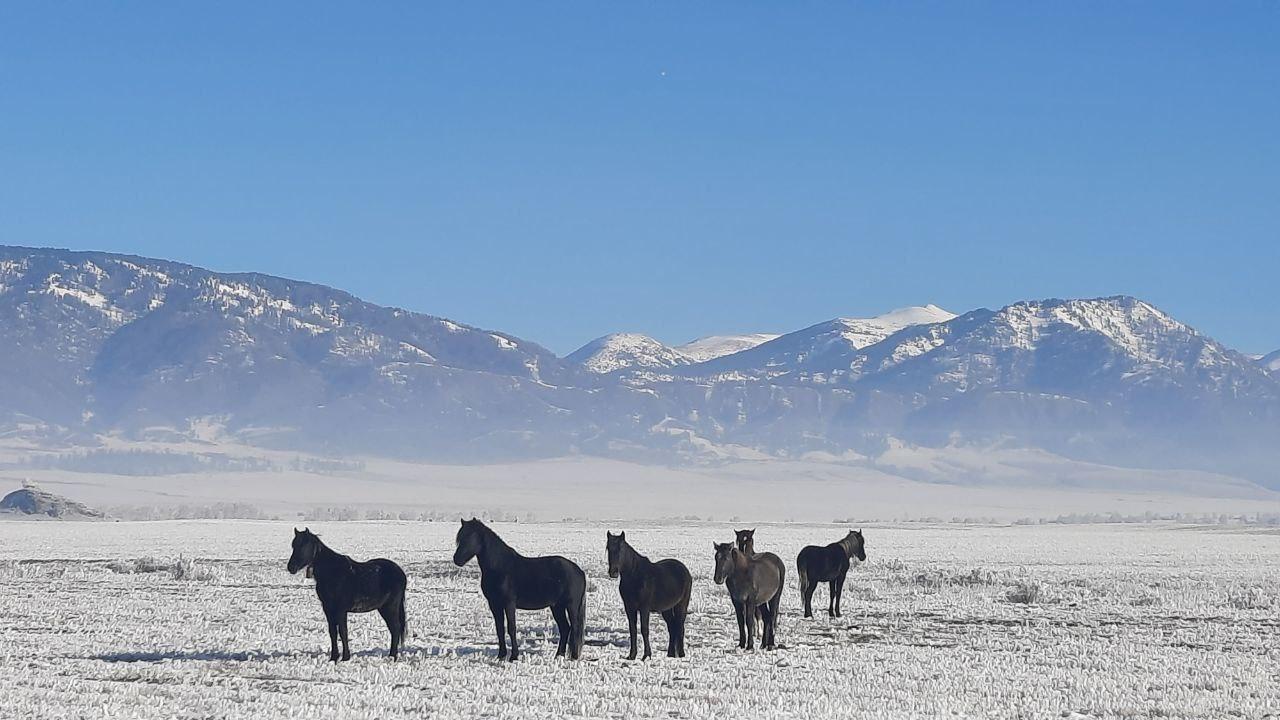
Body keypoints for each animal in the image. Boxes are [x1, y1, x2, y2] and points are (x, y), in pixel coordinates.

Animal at [288, 525, 407, 661]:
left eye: (304, 545)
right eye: (293, 545)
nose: (291, 567)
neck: (332, 572)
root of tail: (400, 572)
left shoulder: (341, 609)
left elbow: (343, 632)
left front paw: (345, 657)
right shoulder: (328, 608)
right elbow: (333, 632)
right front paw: (334, 658)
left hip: (390, 607)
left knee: (395, 628)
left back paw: (392, 656)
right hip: (384, 608)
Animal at [453, 515, 586, 661]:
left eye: (470, 537)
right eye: (460, 537)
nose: (456, 559)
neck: (500, 567)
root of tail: (579, 571)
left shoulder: (509, 603)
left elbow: (511, 628)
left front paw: (514, 656)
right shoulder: (494, 604)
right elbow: (499, 629)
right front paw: (501, 655)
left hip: (571, 605)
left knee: (575, 628)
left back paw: (573, 657)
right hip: (557, 606)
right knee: (565, 628)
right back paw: (558, 655)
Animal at [606, 530, 696, 661]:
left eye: (620, 548)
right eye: (608, 548)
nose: (613, 572)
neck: (635, 576)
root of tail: (685, 570)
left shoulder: (644, 608)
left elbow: (644, 630)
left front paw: (646, 655)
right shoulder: (629, 608)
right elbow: (633, 630)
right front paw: (632, 655)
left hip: (681, 605)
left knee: (680, 626)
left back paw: (681, 654)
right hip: (666, 609)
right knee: (672, 627)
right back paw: (670, 654)